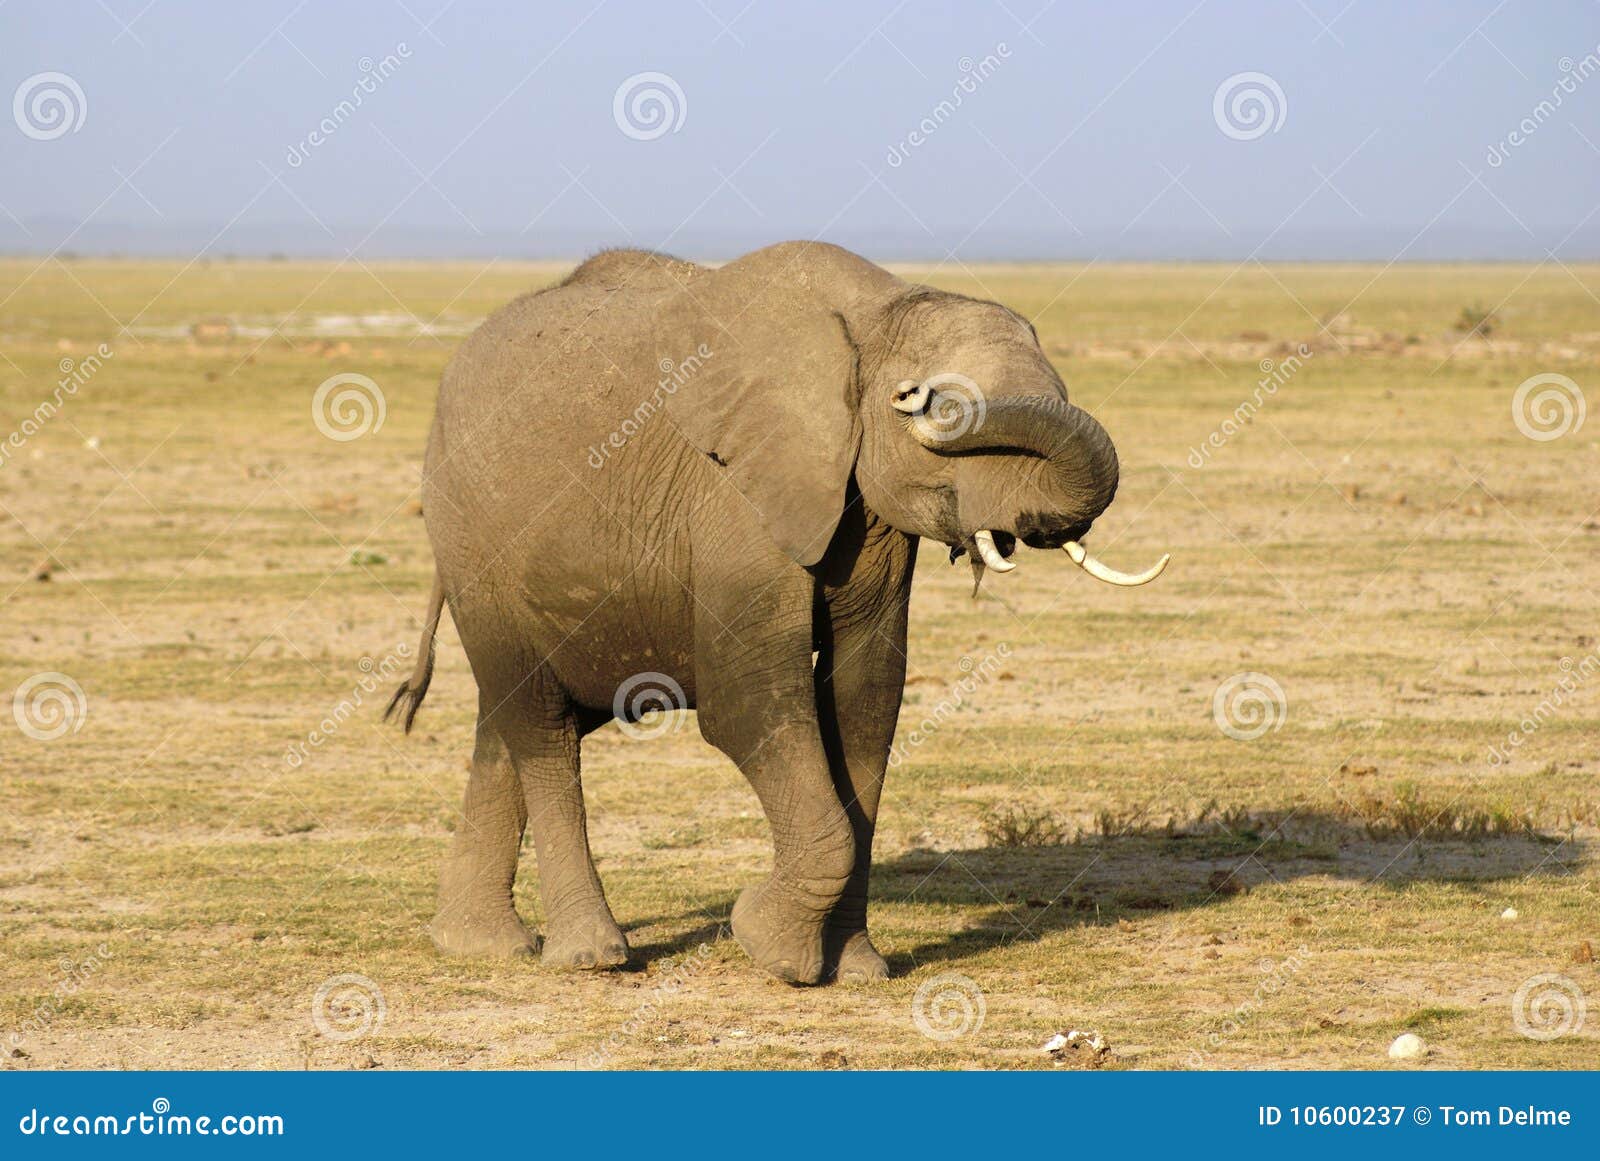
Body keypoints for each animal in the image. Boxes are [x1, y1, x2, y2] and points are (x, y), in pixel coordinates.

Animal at [388, 241, 1166, 985]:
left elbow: (865, 702)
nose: (920, 396)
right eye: (935, 407)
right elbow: (747, 702)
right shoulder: (734, 491)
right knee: (538, 723)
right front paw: (773, 951)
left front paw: (857, 970)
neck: (876, 310)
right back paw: (592, 957)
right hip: (471, 536)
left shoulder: (866, 502)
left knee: (505, 723)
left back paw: (481, 945)